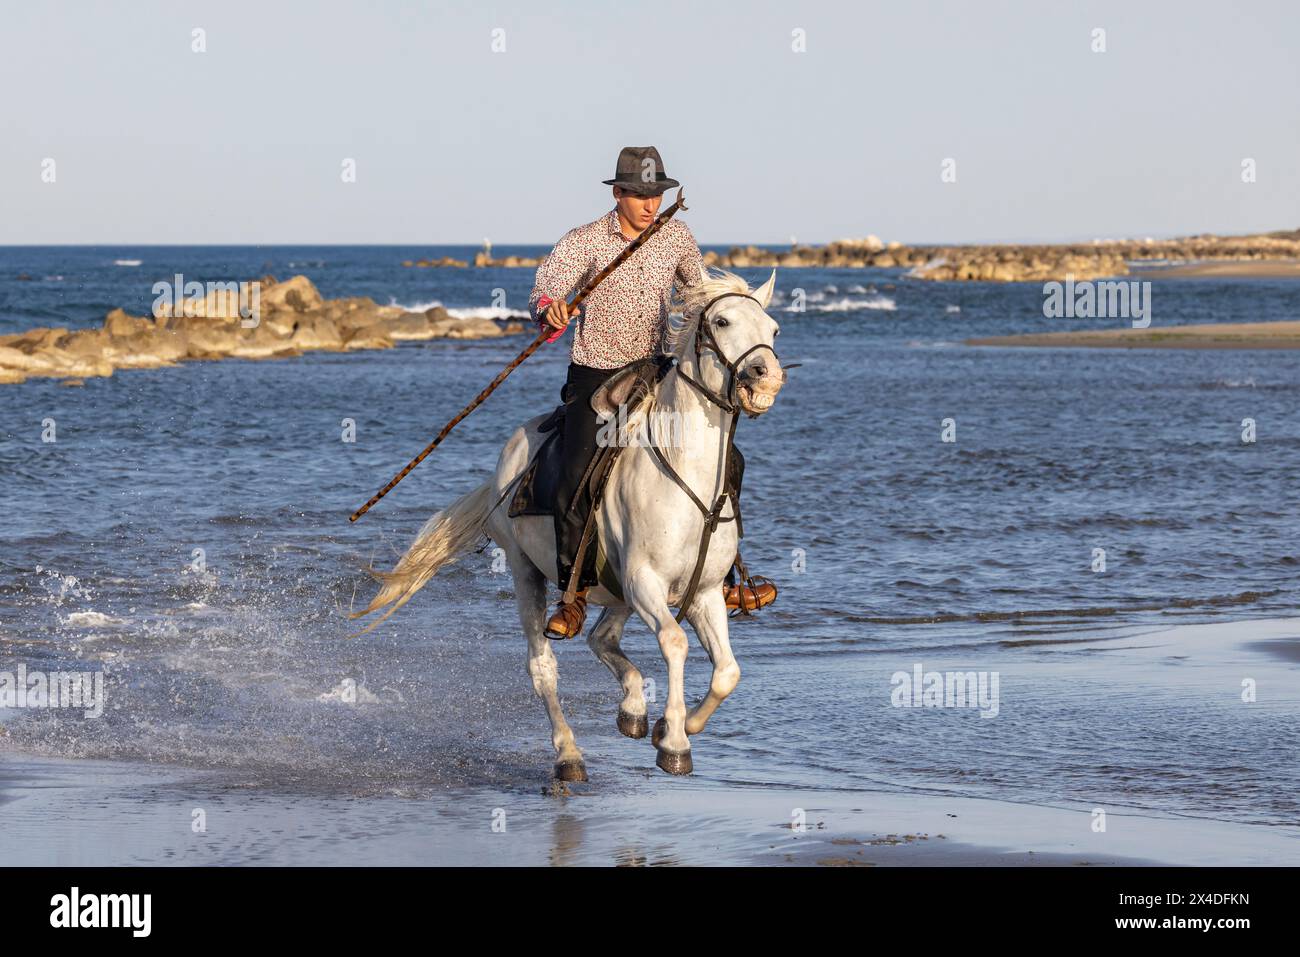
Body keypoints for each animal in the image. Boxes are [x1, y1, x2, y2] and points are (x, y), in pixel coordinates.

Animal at [353, 268, 785, 780]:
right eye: (721, 321)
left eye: (773, 329)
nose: (766, 377)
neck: (682, 470)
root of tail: (505, 465)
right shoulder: (645, 582)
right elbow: (675, 642)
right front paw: (675, 742)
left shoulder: (702, 592)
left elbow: (726, 672)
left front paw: (674, 726)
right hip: (528, 572)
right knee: (543, 668)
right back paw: (568, 754)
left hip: (612, 589)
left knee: (601, 637)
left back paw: (633, 709)